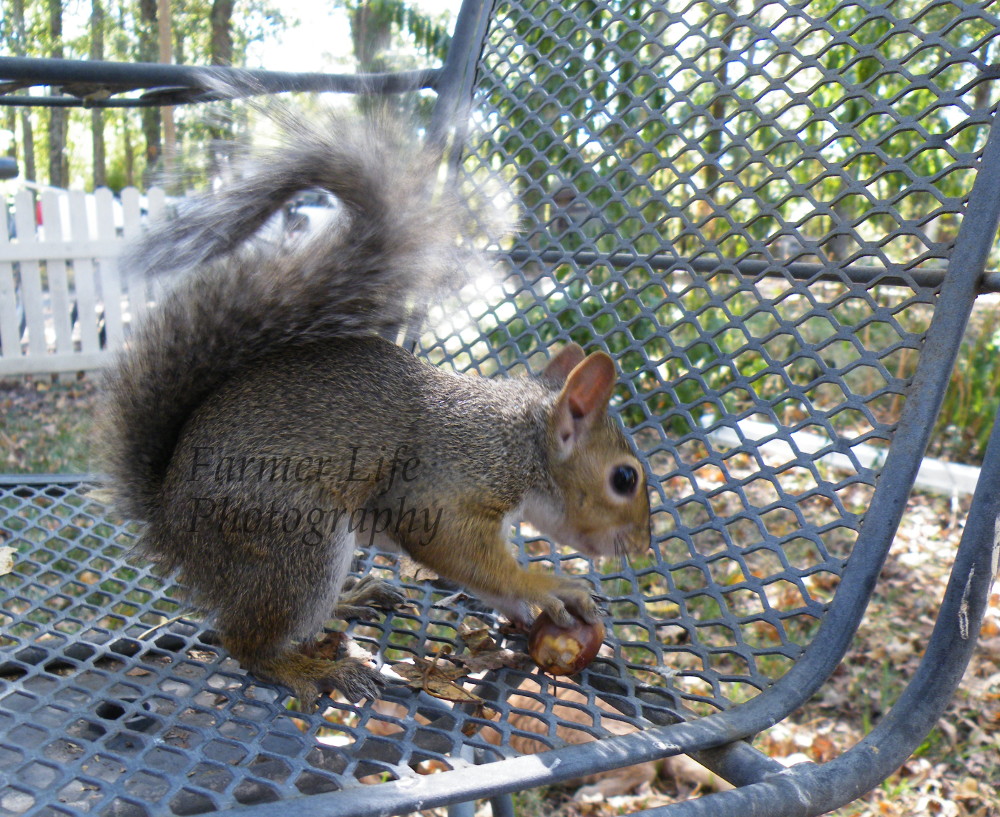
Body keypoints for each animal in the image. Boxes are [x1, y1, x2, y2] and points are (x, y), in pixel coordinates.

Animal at [96, 103, 652, 705]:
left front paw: (523, 612)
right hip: (294, 537)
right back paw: (308, 669)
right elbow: (454, 548)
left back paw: (349, 600)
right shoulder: (442, 485)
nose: (643, 546)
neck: (518, 441)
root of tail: (170, 521)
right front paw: (547, 585)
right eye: (624, 479)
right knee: (245, 642)